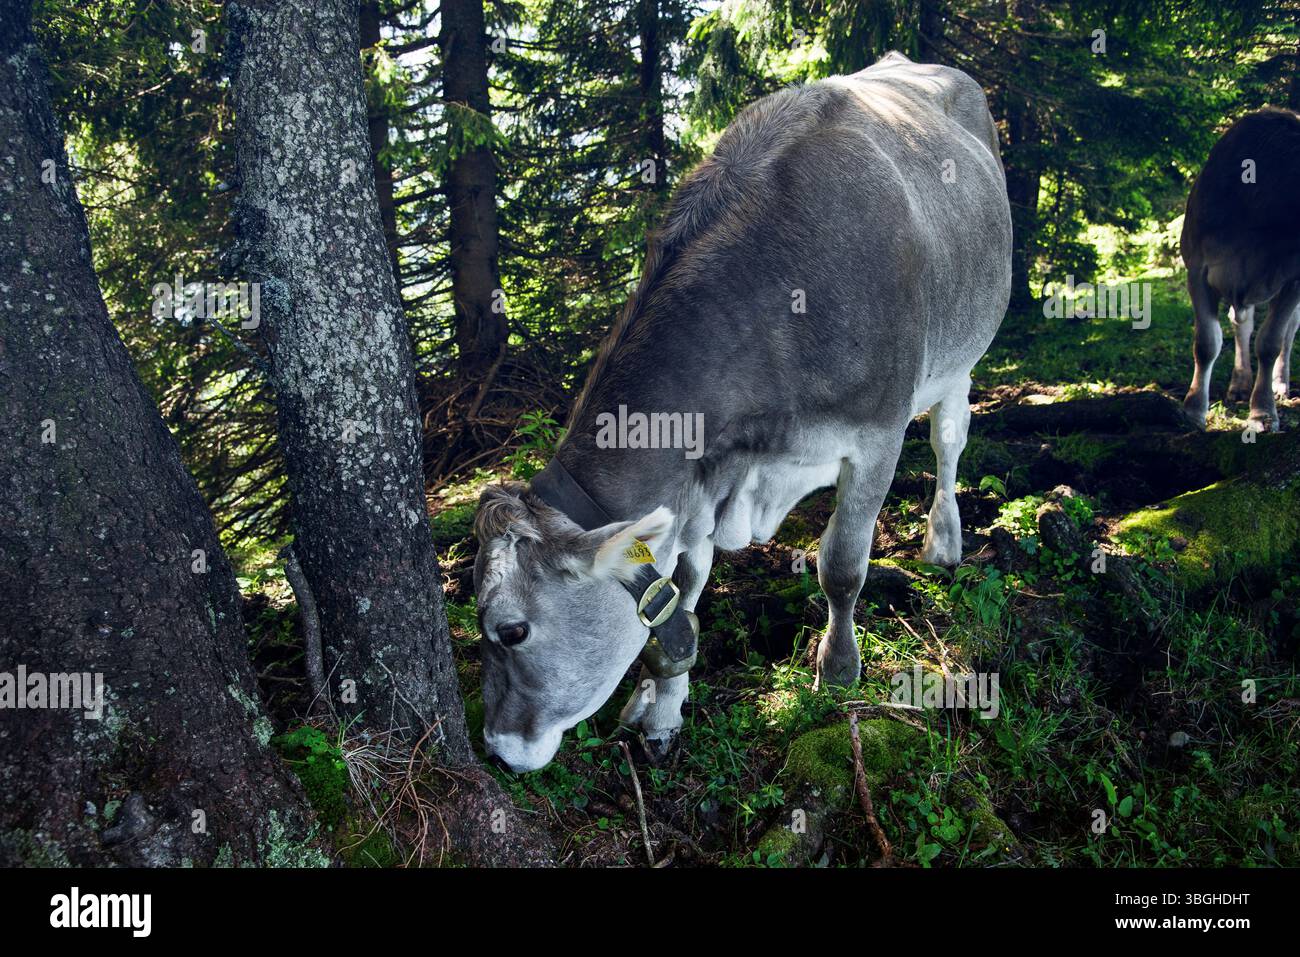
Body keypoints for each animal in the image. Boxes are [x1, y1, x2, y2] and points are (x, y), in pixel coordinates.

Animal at [473, 52, 1012, 772]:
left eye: (512, 629)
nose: (497, 750)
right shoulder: (702, 474)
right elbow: (685, 584)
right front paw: (660, 705)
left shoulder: (876, 434)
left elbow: (842, 564)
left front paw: (838, 670)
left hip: (961, 352)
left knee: (950, 441)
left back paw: (944, 542)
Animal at [1182, 108, 1300, 433]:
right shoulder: (1197, 267)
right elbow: (1206, 342)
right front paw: (1193, 410)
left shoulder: (1293, 278)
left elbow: (1271, 342)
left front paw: (1263, 413)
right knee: (1240, 323)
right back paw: (1239, 383)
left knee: (1289, 331)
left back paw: (1280, 385)